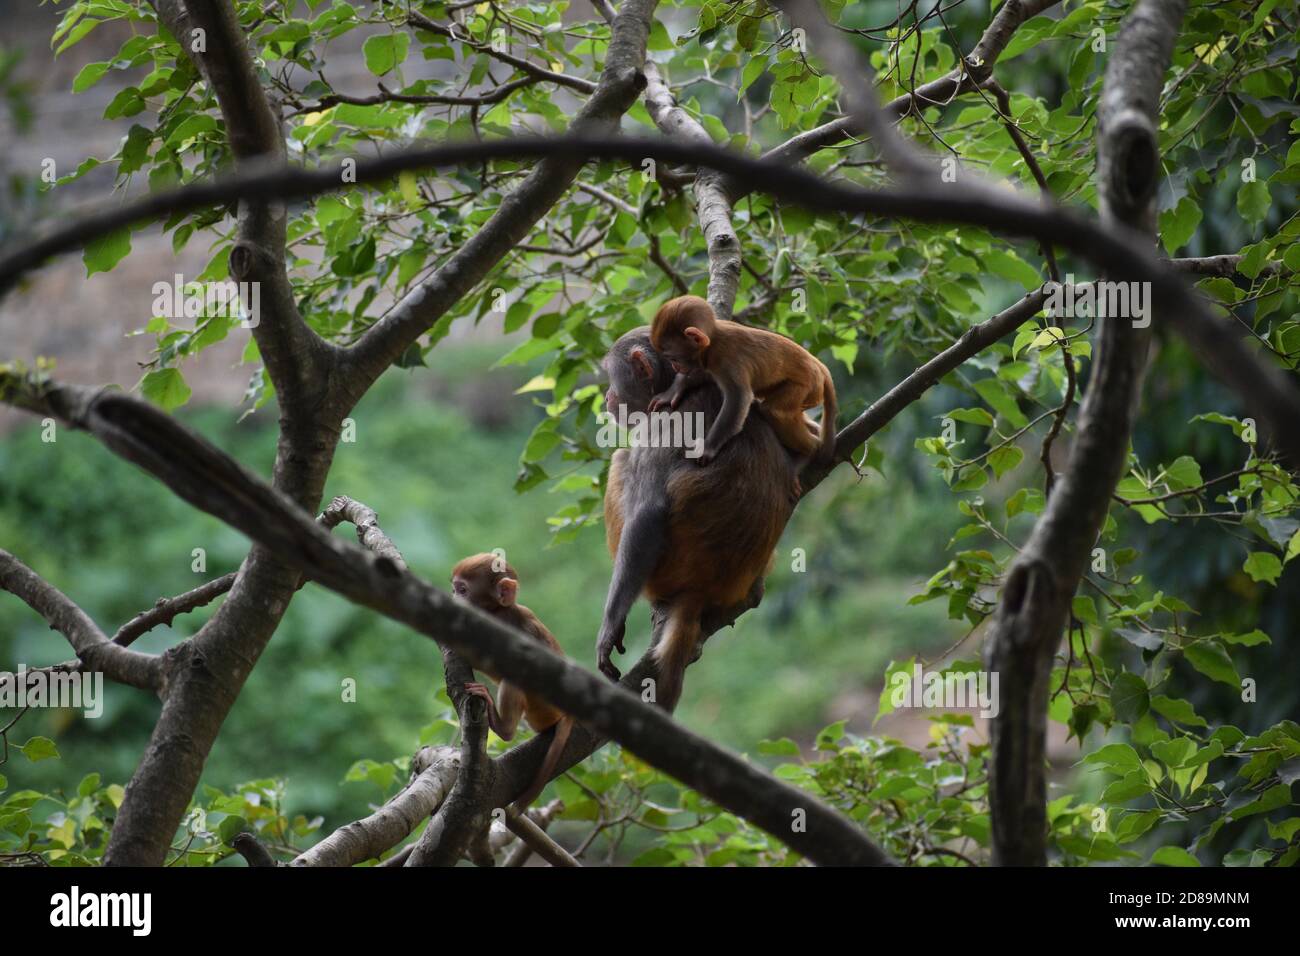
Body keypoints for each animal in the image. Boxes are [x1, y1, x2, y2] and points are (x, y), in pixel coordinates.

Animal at [450, 553, 573, 810]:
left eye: (463, 590)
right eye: (454, 589)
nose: (453, 599)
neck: (498, 612)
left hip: (543, 708)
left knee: (513, 680)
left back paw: (502, 727)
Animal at [596, 327, 797, 710]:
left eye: (613, 379)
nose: (607, 398)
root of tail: (701, 589)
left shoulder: (660, 422)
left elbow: (647, 514)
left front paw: (611, 626)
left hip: (663, 574)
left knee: (621, 461)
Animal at [648, 296, 838, 482]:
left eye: (672, 358)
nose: (675, 367)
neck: (714, 339)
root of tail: (818, 366)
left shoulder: (726, 359)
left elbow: (738, 398)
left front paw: (708, 448)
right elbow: (703, 374)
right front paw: (673, 391)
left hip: (806, 386)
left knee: (773, 411)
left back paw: (811, 450)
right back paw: (813, 431)